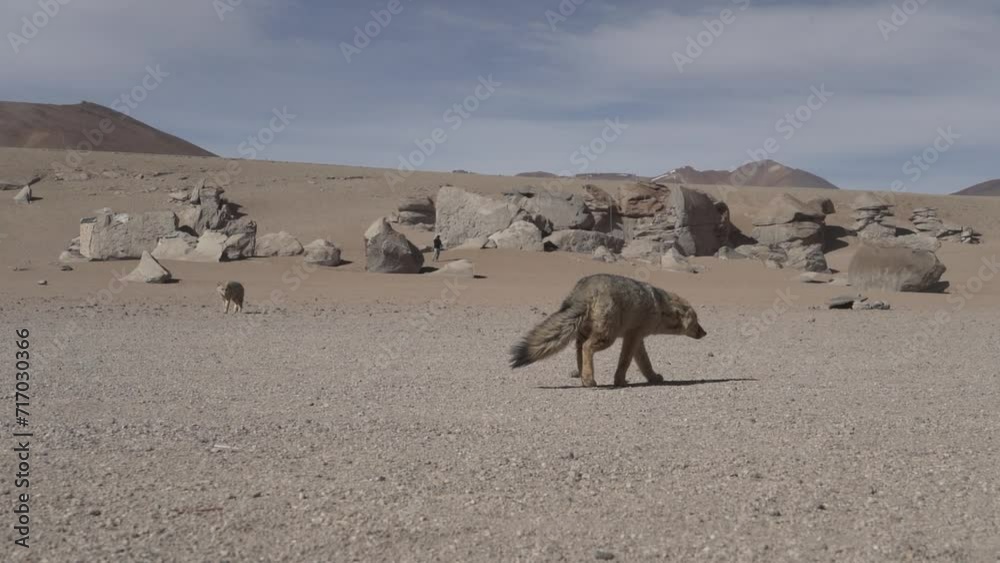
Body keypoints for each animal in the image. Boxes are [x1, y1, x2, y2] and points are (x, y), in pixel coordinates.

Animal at [510, 274, 707, 387]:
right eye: (697, 322)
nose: (705, 333)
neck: (660, 307)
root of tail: (584, 289)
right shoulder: (633, 335)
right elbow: (625, 361)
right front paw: (619, 381)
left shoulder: (637, 338)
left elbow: (644, 362)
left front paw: (653, 377)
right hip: (607, 336)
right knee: (587, 347)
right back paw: (589, 380)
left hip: (584, 334)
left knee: (580, 351)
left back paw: (583, 375)